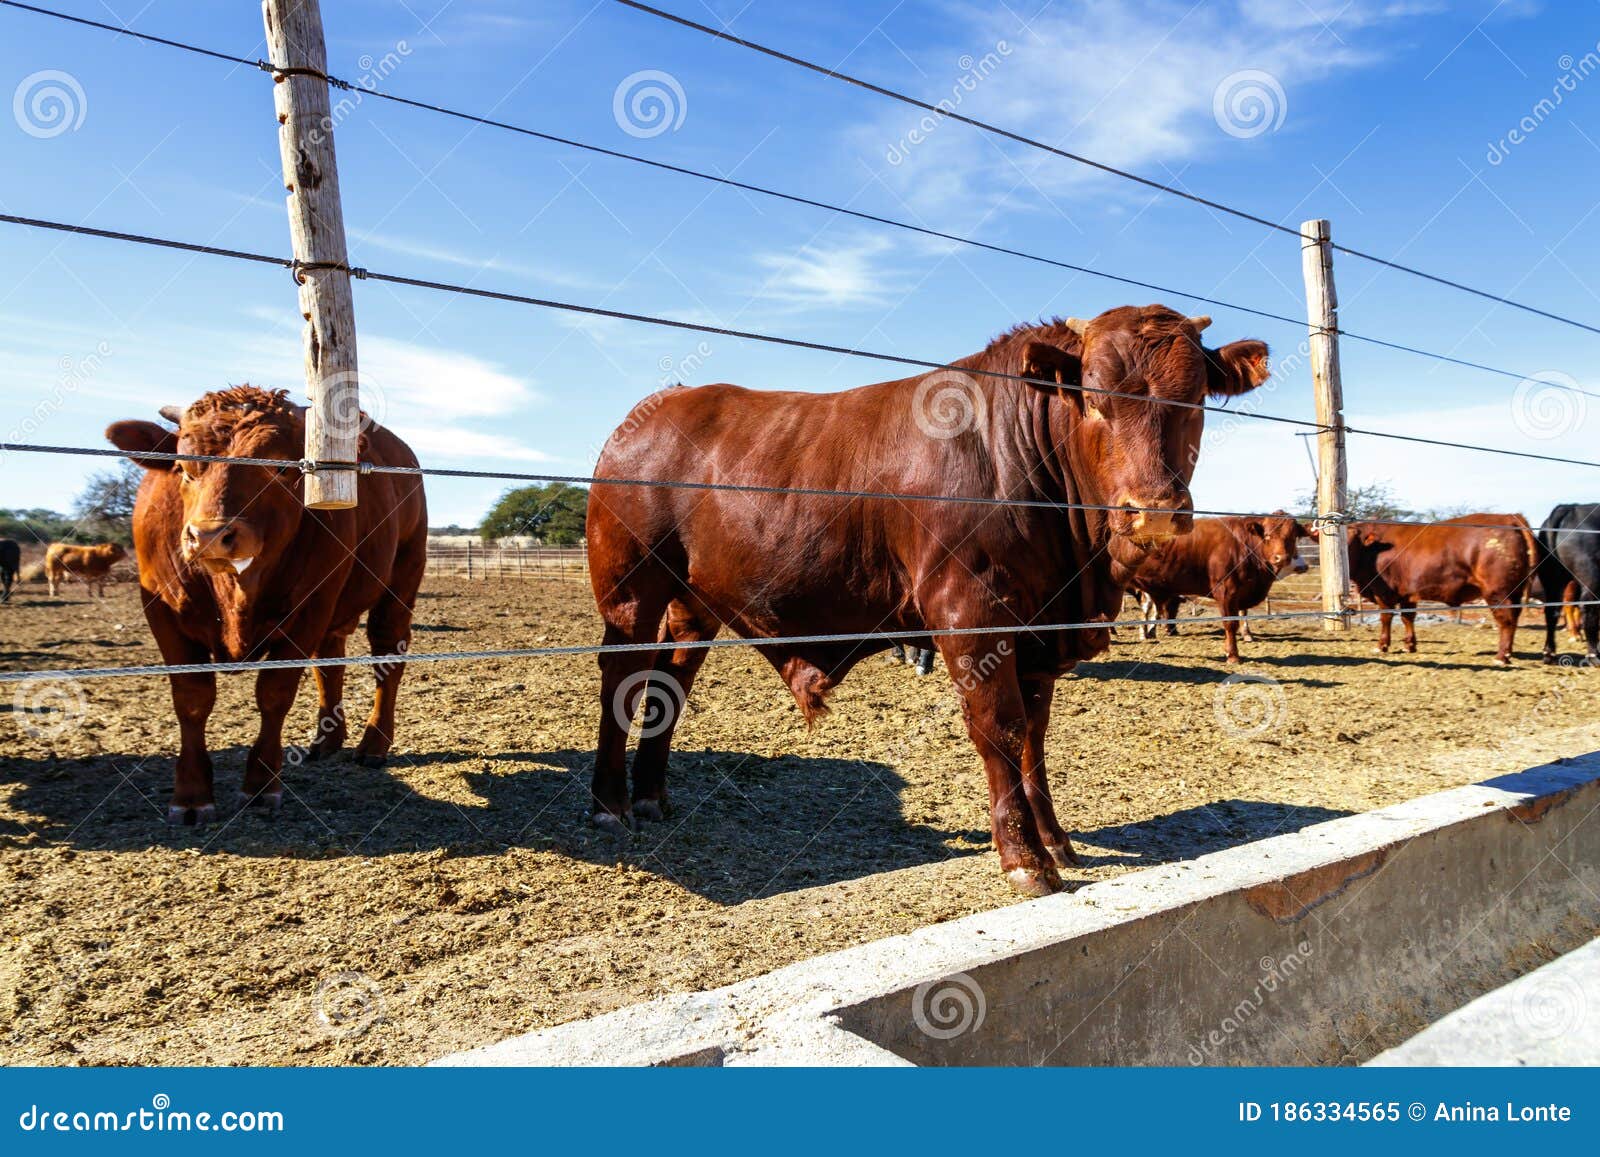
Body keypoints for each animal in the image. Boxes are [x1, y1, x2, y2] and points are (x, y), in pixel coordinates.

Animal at [106, 385, 428, 825]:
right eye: (185, 467)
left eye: (280, 470)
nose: (210, 536)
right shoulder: (162, 609)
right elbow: (192, 698)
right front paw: (191, 795)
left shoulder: (309, 609)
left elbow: (275, 694)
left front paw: (261, 786)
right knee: (330, 662)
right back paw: (327, 741)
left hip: (401, 581)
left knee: (387, 656)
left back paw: (373, 745)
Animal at [586, 305, 1271, 895]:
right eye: (1095, 399)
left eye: (1194, 400)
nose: (1152, 510)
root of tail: (663, 402)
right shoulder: (970, 612)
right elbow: (998, 726)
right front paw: (1025, 858)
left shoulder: (1037, 631)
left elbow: (1034, 734)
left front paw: (1055, 840)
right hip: (630, 591)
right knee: (622, 674)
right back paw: (609, 803)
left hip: (692, 604)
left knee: (670, 679)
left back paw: (651, 796)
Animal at [1121, 513, 1316, 662]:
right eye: (1267, 535)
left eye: (1293, 537)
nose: (1280, 558)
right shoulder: (1226, 591)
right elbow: (1230, 624)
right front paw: (1233, 655)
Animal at [1346, 514, 1536, 666]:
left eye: (1350, 541)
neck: (1373, 550)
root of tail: (1509, 517)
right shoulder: (1408, 594)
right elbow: (1408, 618)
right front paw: (1409, 645)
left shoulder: (1383, 593)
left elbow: (1386, 618)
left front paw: (1382, 645)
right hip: (1515, 592)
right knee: (1514, 618)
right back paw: (1508, 653)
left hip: (1498, 592)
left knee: (1506, 620)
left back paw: (1501, 656)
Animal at [1534, 503, 1600, 663]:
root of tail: (1571, 508)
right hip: (1590, 575)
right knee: (1588, 607)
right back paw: (1594, 655)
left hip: (1553, 578)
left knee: (1552, 610)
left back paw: (1549, 653)